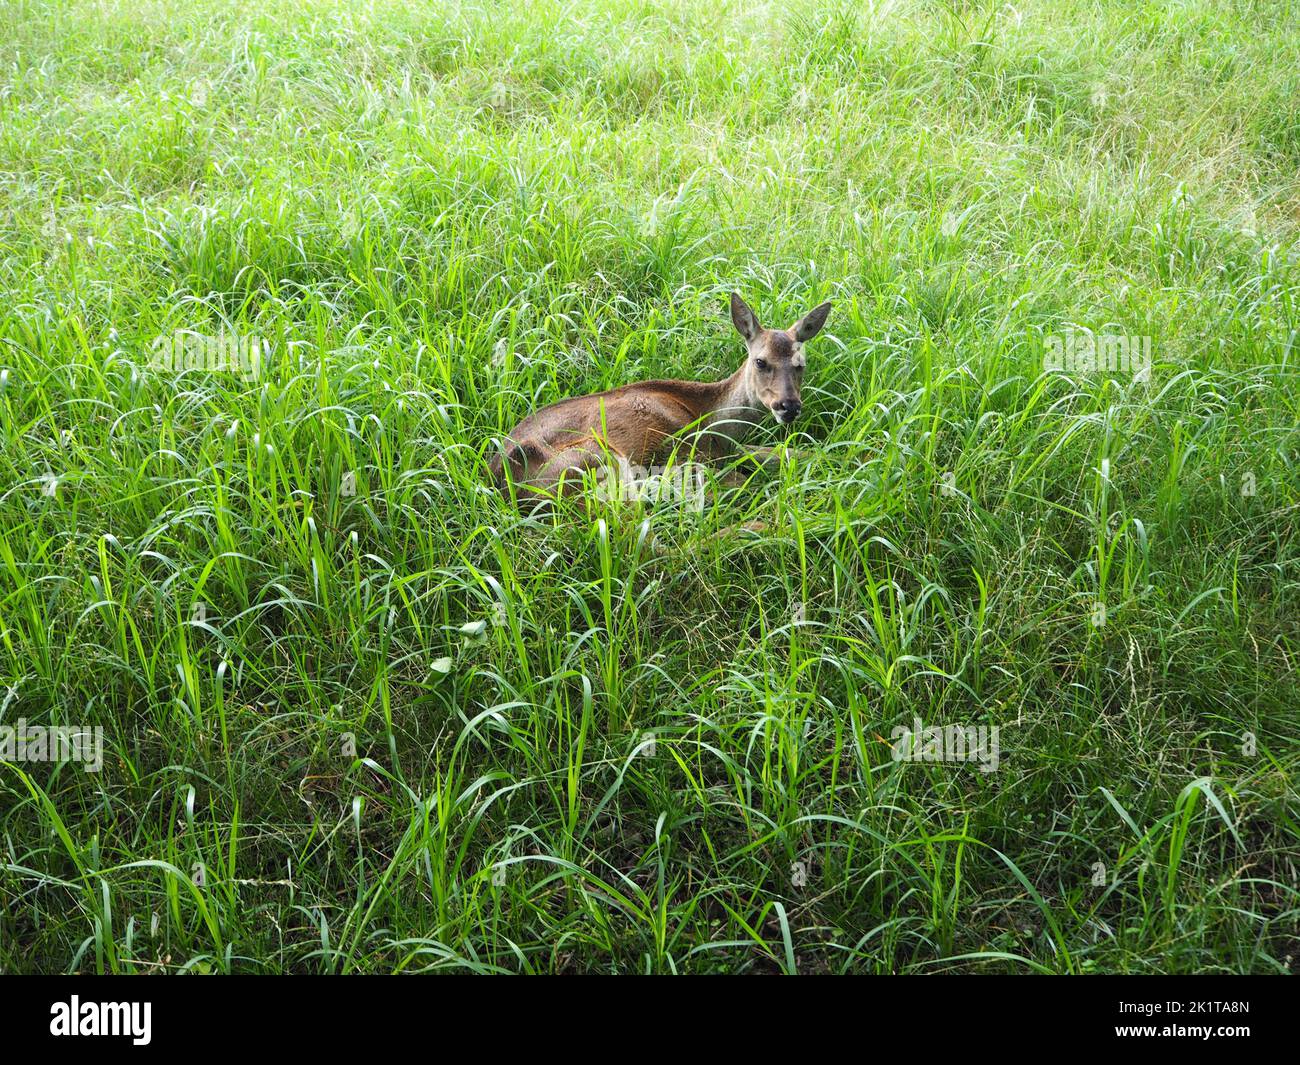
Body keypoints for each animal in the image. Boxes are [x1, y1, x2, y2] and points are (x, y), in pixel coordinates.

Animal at [488, 293, 832, 506]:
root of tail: (500, 480)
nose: (788, 406)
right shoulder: (689, 453)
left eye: (801, 364)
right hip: (601, 461)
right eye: (761, 362)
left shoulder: (729, 450)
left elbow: (790, 454)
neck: (714, 420)